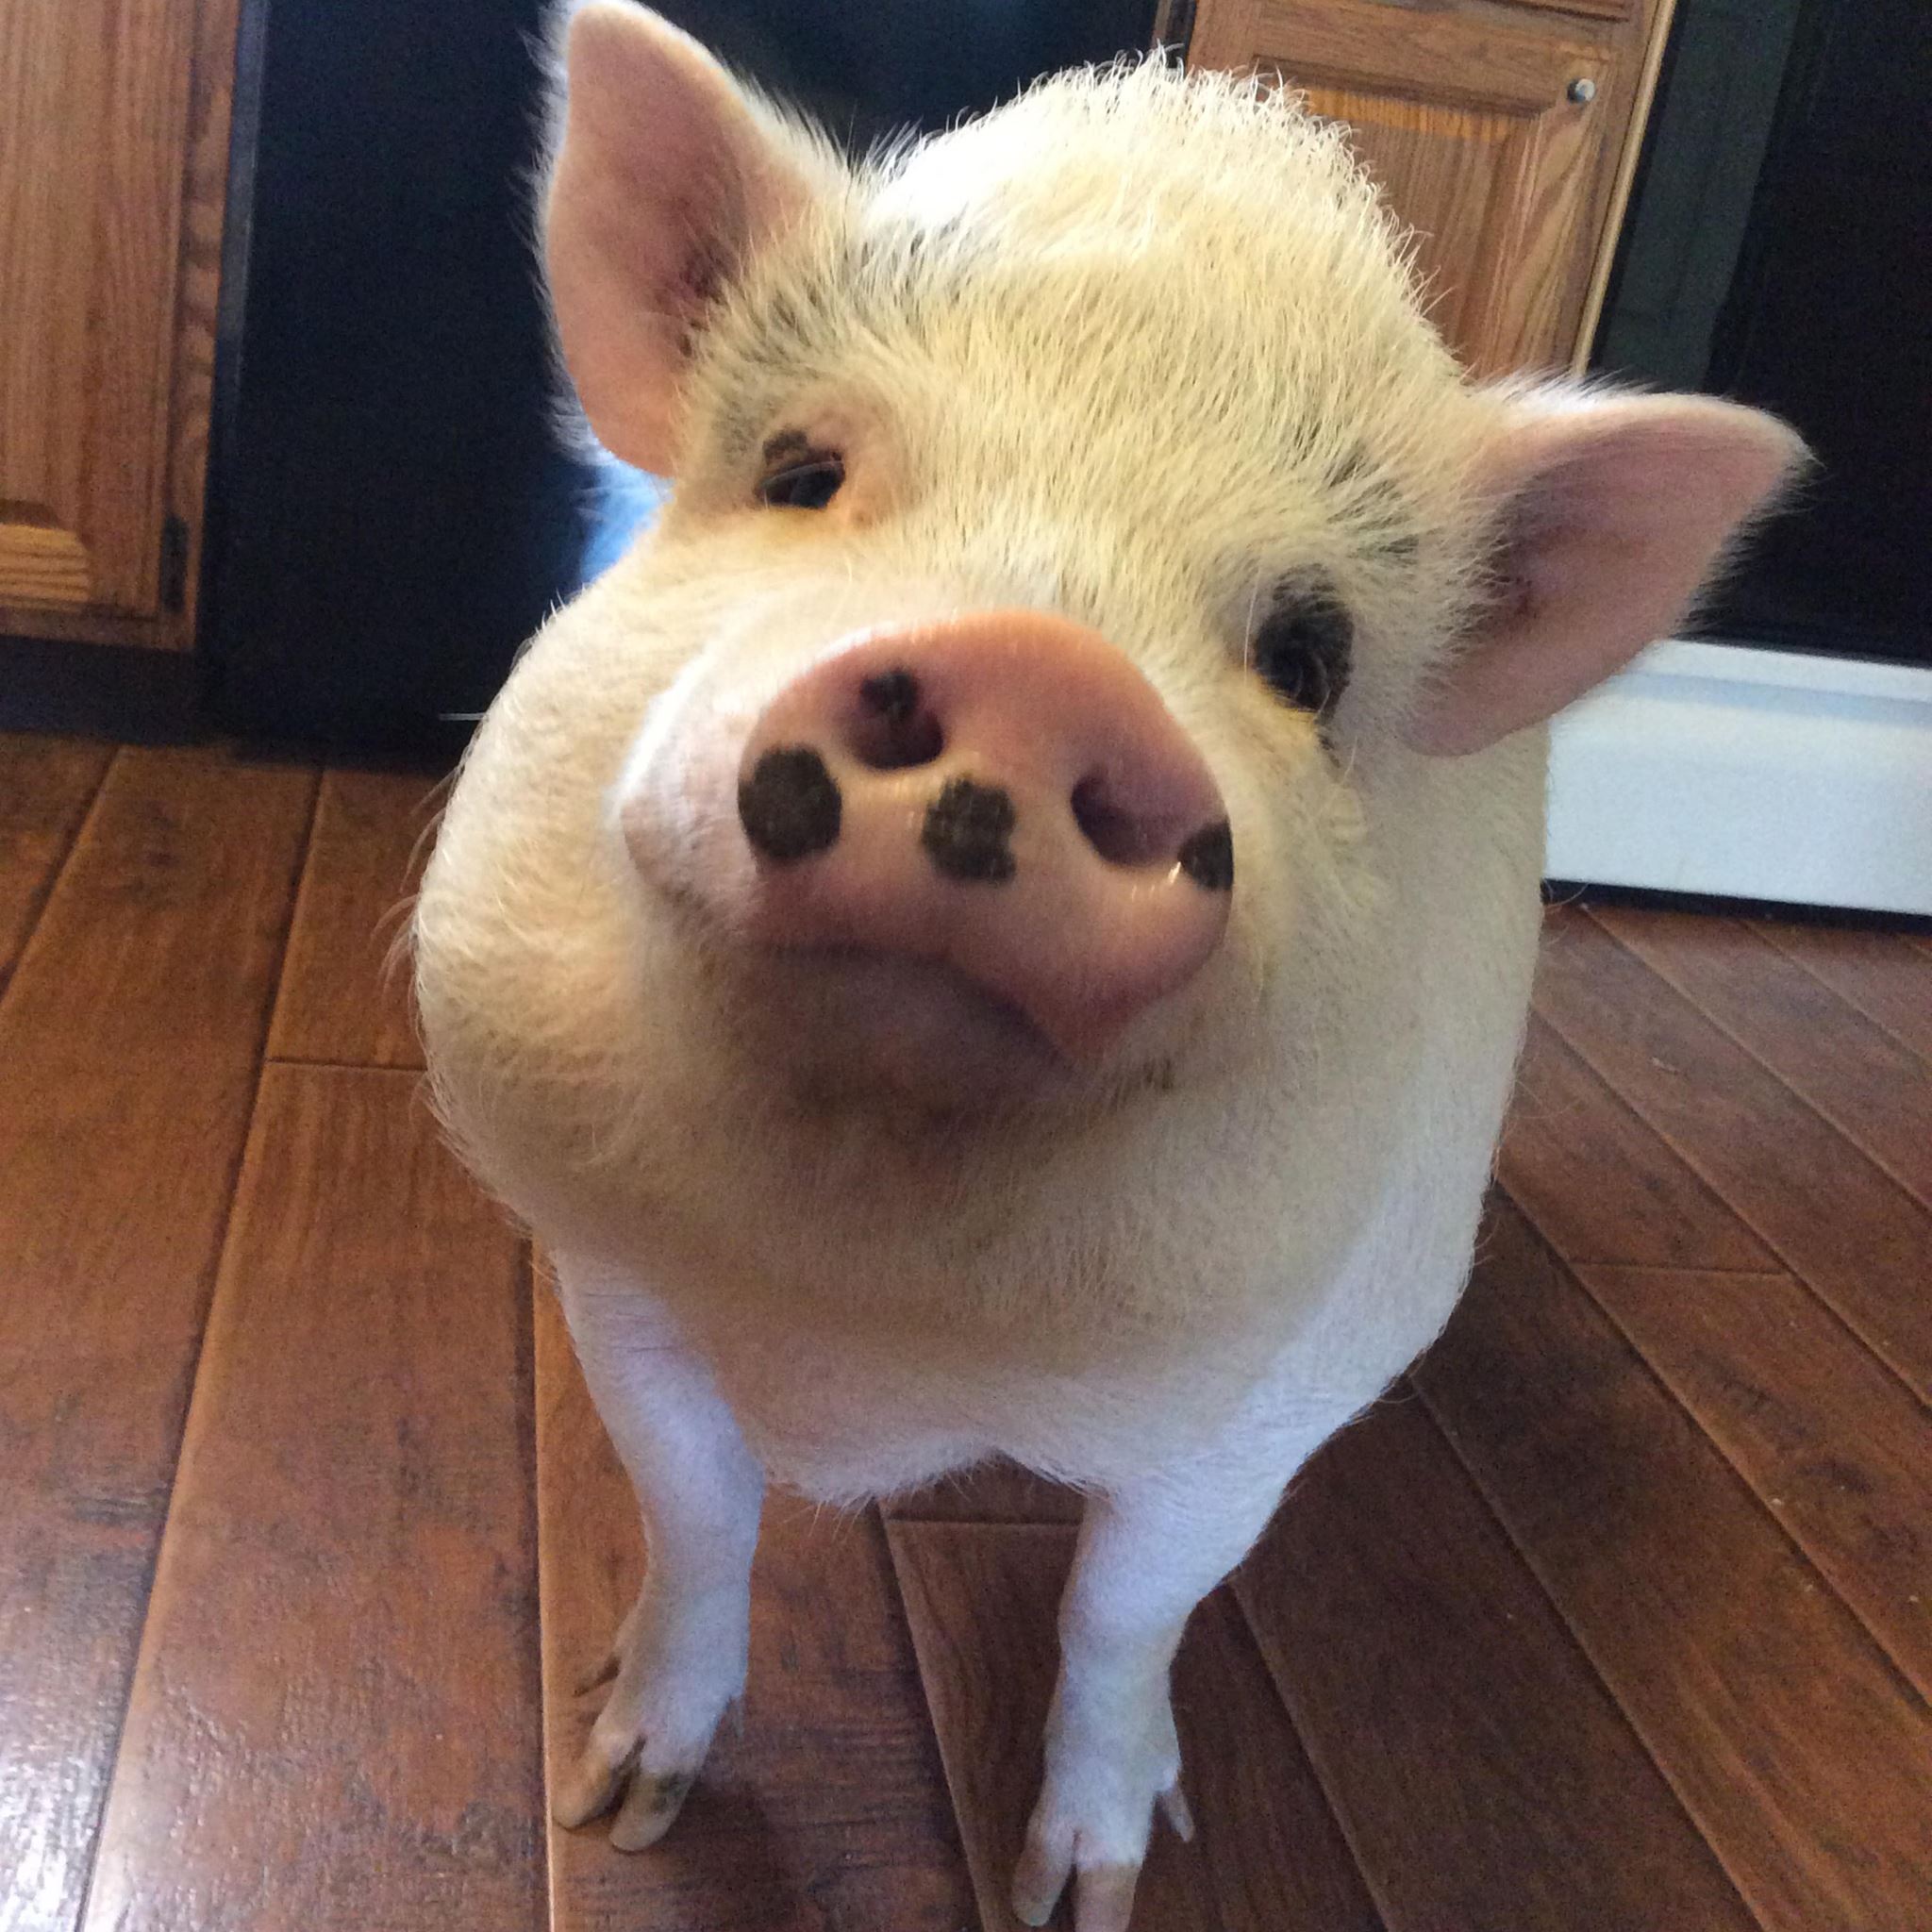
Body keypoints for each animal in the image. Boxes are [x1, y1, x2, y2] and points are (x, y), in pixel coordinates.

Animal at [411, 6, 1805, 1927]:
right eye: (800, 474)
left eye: (1309, 659)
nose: (1034, 664)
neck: (867, 1307)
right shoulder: (612, 1286)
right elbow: (697, 1511)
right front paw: (615, 1807)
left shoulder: (1272, 1396)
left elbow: (1124, 1608)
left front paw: (1082, 1890)